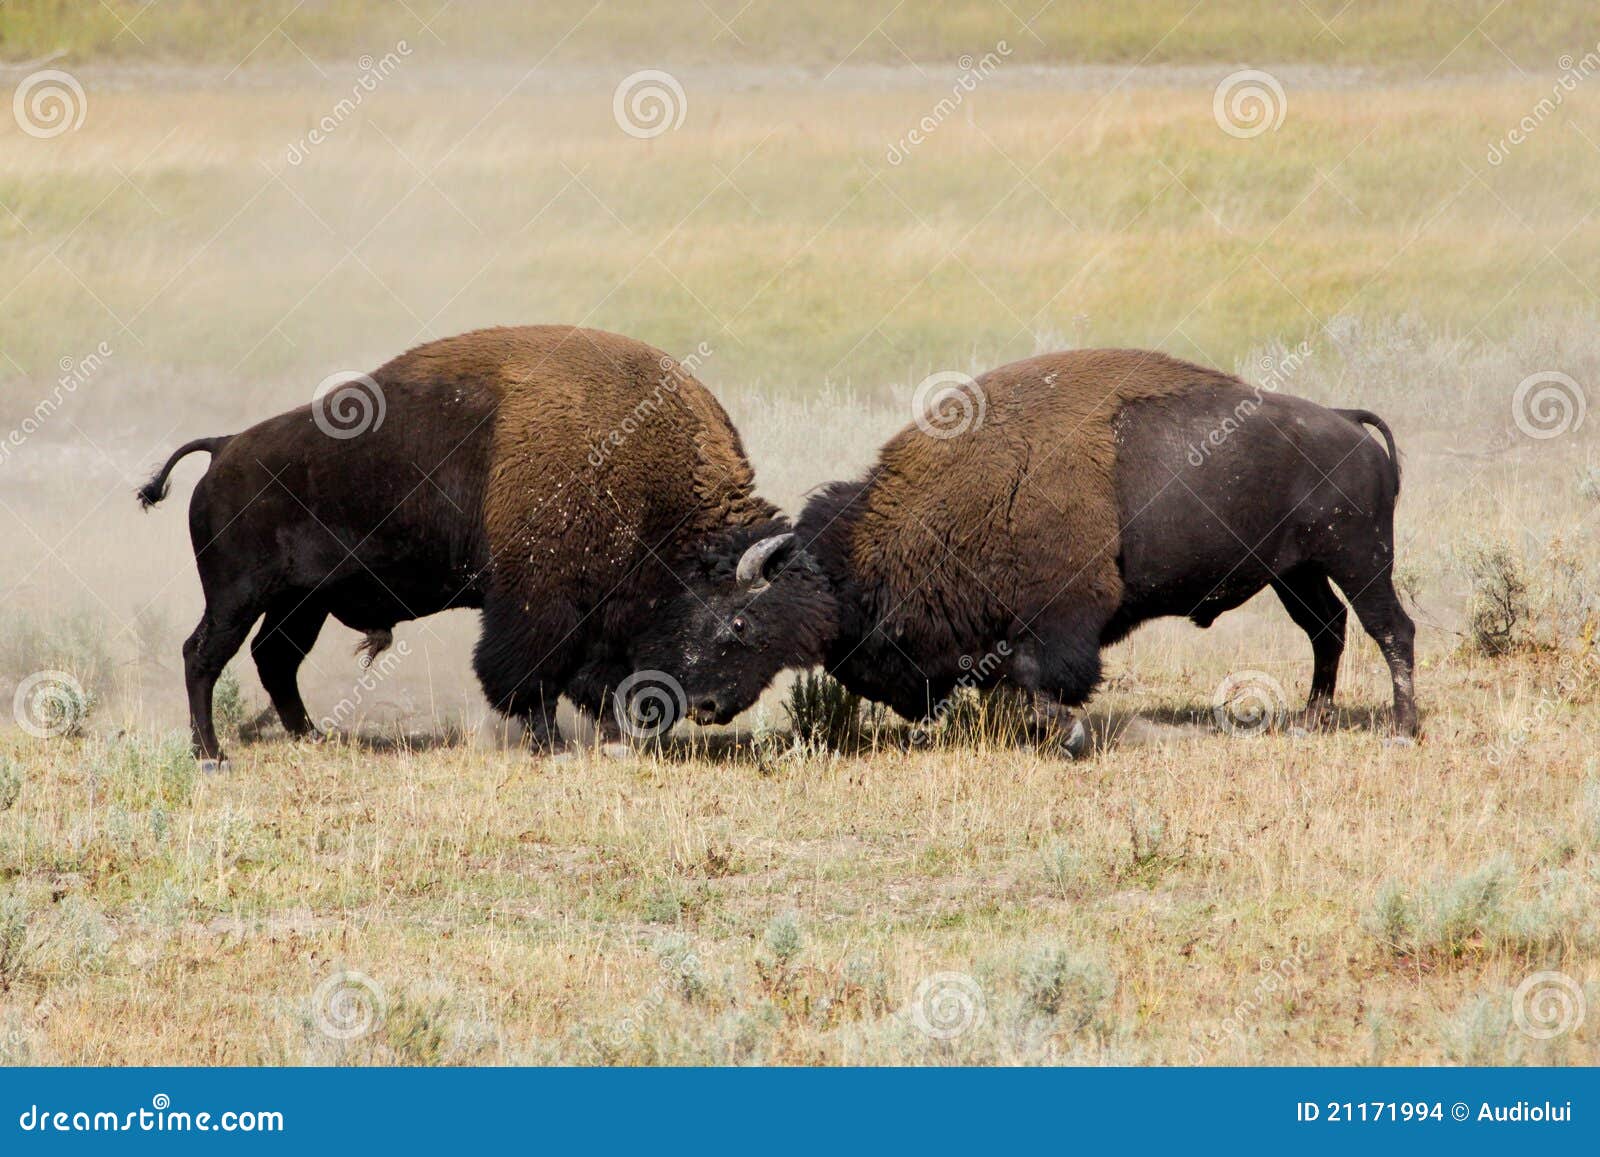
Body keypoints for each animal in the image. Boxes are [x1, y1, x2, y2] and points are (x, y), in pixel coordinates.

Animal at [139, 325, 778, 766]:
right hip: (237, 595)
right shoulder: (538, 607)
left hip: (301, 603)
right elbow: (532, 677)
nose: (712, 709)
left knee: (275, 658)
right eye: (737, 622)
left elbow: (592, 679)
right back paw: (211, 754)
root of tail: (225, 448)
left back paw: (314, 738)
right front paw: (553, 746)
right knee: (203, 655)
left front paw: (611, 740)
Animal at [637, 347, 1417, 748]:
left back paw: (1403, 728)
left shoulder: (1063, 622)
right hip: (1297, 573)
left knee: (1390, 628)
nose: (700, 703)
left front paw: (1071, 736)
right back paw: (1312, 719)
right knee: (1328, 630)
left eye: (739, 622)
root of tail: (1344, 424)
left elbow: (1043, 684)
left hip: (1358, 560)